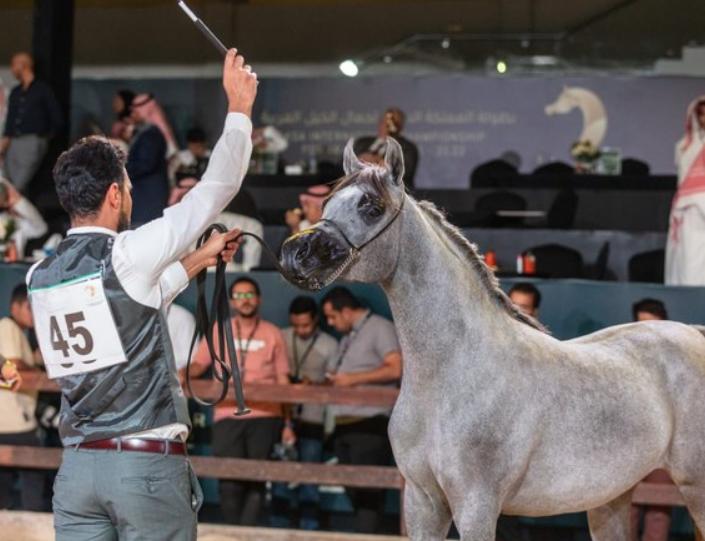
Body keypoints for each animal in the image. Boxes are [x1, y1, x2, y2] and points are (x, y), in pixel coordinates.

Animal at [279, 138, 705, 541]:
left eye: (371, 206)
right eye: (328, 202)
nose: (294, 253)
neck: (453, 373)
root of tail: (692, 334)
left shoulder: (476, 507)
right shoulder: (422, 501)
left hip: (694, 486)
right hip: (610, 498)